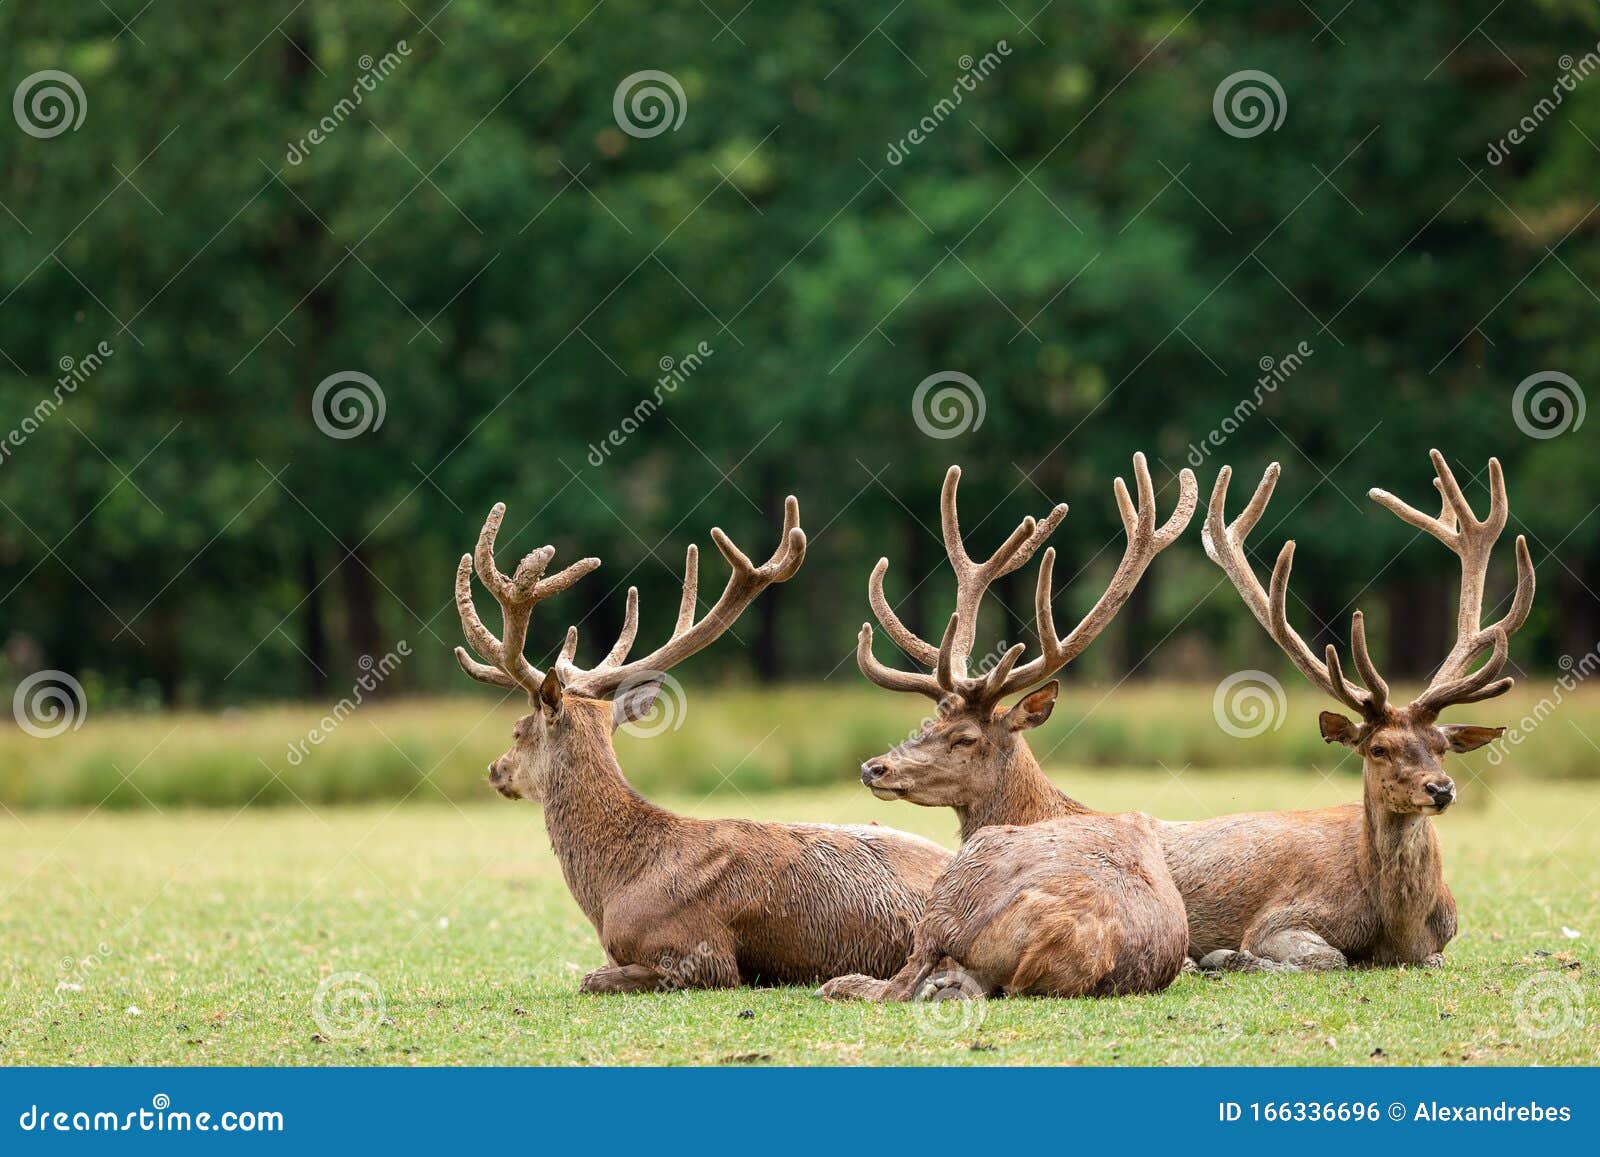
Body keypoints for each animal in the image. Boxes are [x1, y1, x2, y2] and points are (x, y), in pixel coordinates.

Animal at [817, 455, 1197, 1001]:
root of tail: (1062, 941)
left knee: (897, 985)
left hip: (952, 894)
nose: (875, 768)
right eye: (931, 720)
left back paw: (842, 983)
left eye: (965, 737)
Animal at [1166, 450, 1534, 970]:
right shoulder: (1277, 919)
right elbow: (1331, 958)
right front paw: (1228, 957)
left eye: (1442, 747)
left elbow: (1434, 959)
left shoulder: (1441, 945)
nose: (1441, 789)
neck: (1397, 933)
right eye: (1378, 749)